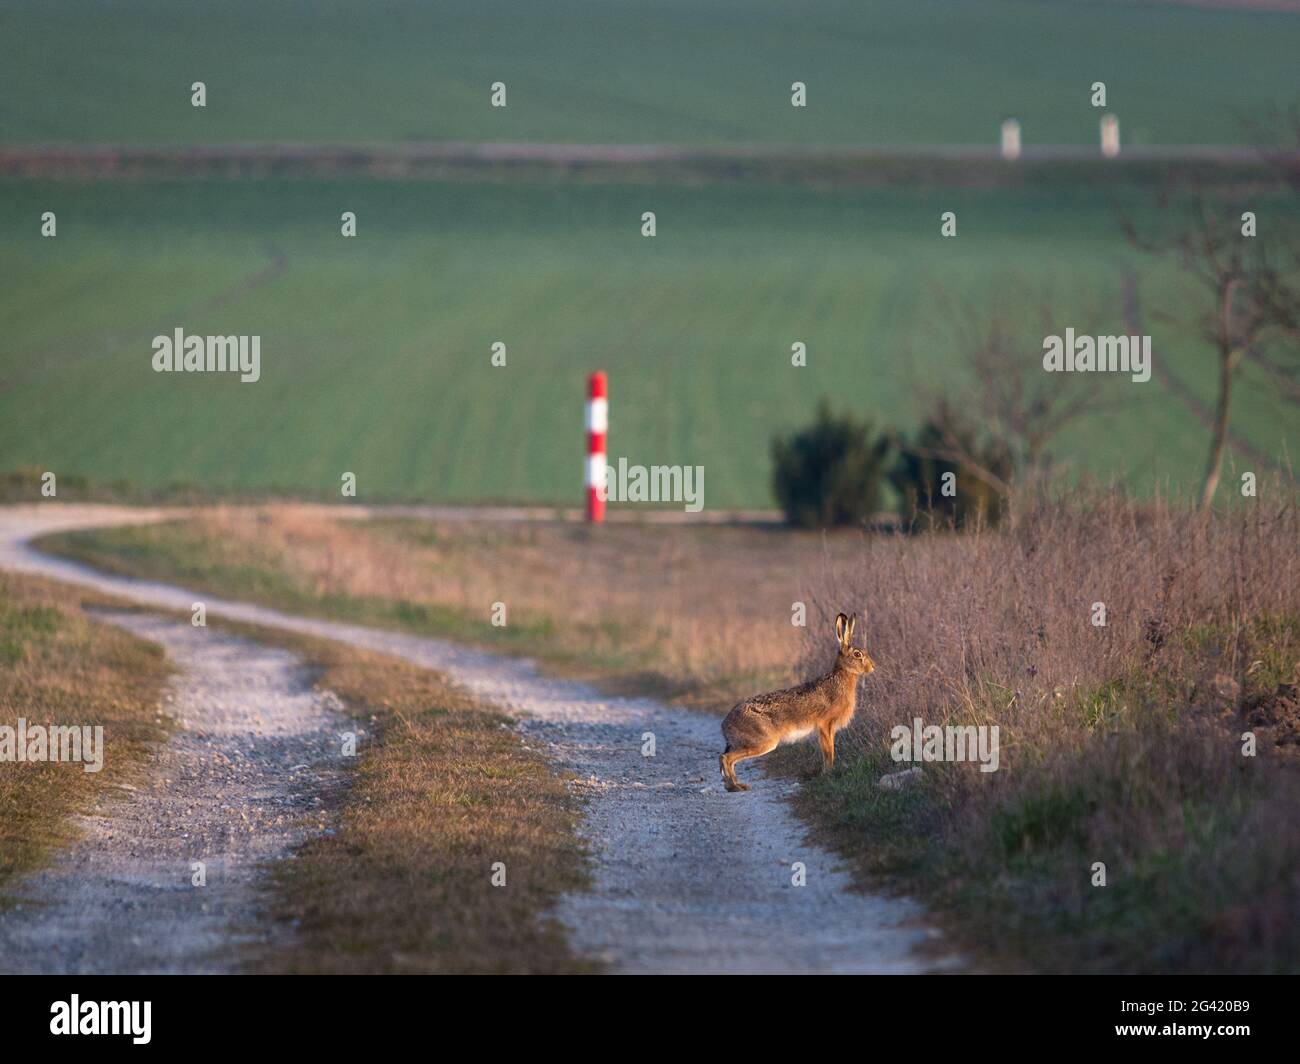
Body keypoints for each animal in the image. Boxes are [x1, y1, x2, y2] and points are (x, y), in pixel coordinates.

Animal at [720, 611, 874, 792]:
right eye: (857, 654)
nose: (872, 667)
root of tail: (725, 725)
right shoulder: (825, 725)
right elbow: (829, 751)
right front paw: (828, 773)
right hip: (763, 742)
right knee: (726, 758)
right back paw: (736, 787)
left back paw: (733, 785)